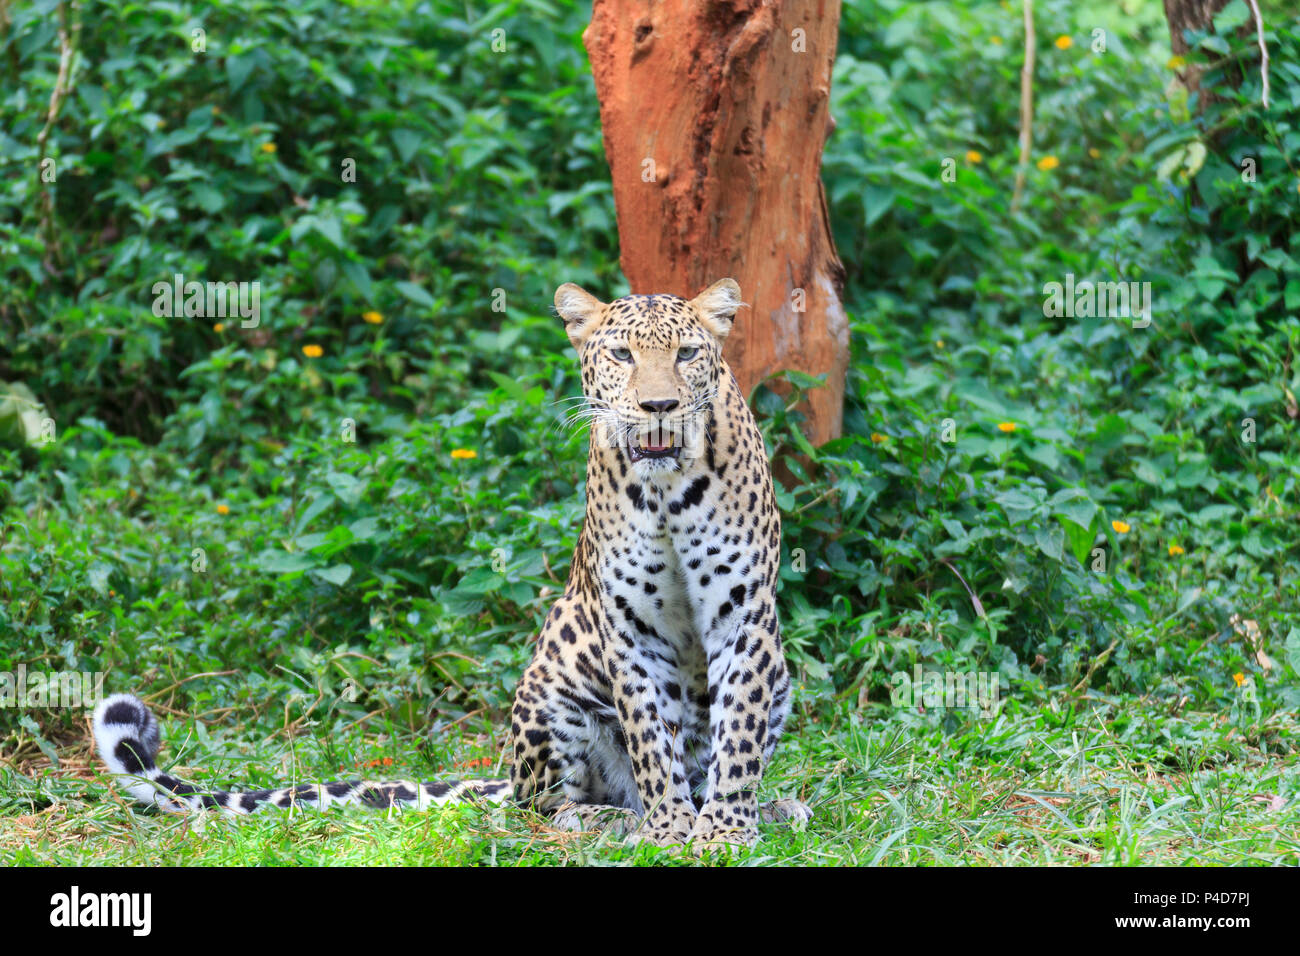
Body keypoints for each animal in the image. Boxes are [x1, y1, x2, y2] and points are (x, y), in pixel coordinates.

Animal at [94, 278, 809, 850]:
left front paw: (724, 830)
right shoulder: (629, 629)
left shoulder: (745, 618)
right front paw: (668, 830)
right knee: (540, 806)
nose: (659, 407)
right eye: (621, 355)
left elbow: (737, 740)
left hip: (782, 675)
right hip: (549, 692)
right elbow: (652, 744)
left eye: (687, 354)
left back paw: (775, 808)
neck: (666, 493)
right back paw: (614, 819)